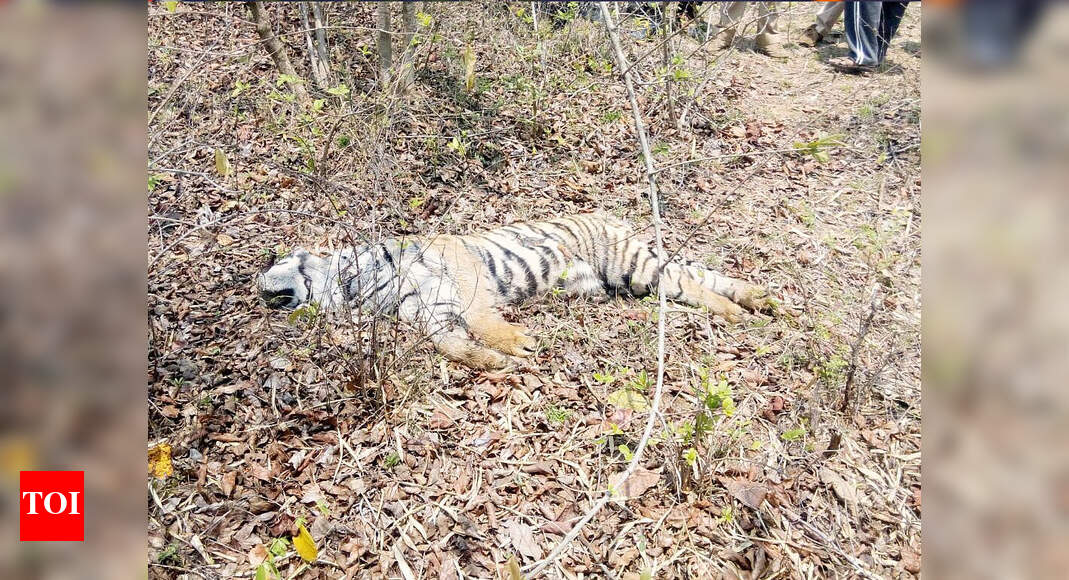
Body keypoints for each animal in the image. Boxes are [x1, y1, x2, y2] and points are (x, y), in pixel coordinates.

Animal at [257, 214, 774, 369]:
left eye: (273, 262)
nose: (257, 289)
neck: (358, 283)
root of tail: (614, 219)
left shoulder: (458, 270)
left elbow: (481, 318)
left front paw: (517, 343)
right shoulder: (427, 312)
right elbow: (452, 343)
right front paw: (491, 362)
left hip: (633, 266)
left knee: (692, 284)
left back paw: (737, 313)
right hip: (635, 274)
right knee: (701, 276)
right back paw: (759, 298)